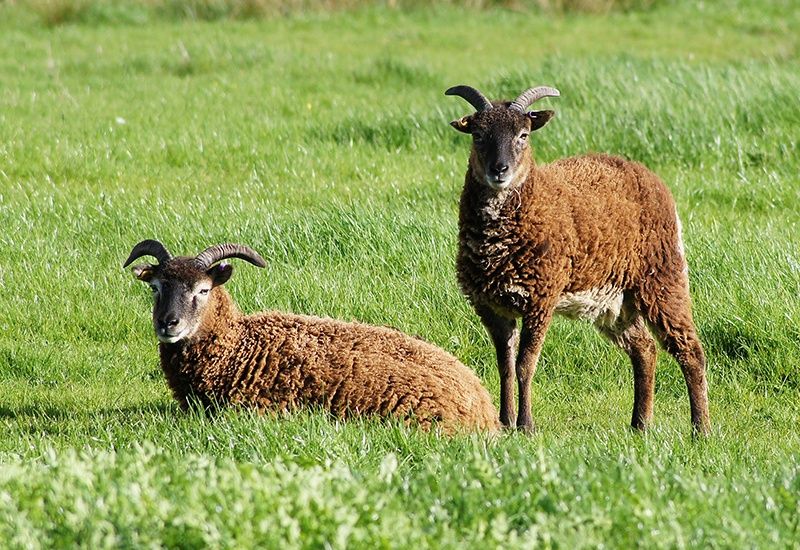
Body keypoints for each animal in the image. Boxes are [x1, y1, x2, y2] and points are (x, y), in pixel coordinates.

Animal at [445, 84, 710, 434]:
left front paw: (526, 426)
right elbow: (504, 365)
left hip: (661, 276)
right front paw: (504, 423)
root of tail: (644, 173)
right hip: (614, 301)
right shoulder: (491, 307)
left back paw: (701, 430)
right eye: (477, 135)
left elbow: (525, 364)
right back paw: (639, 425)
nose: (499, 170)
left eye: (524, 135)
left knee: (690, 350)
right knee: (645, 349)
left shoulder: (540, 299)